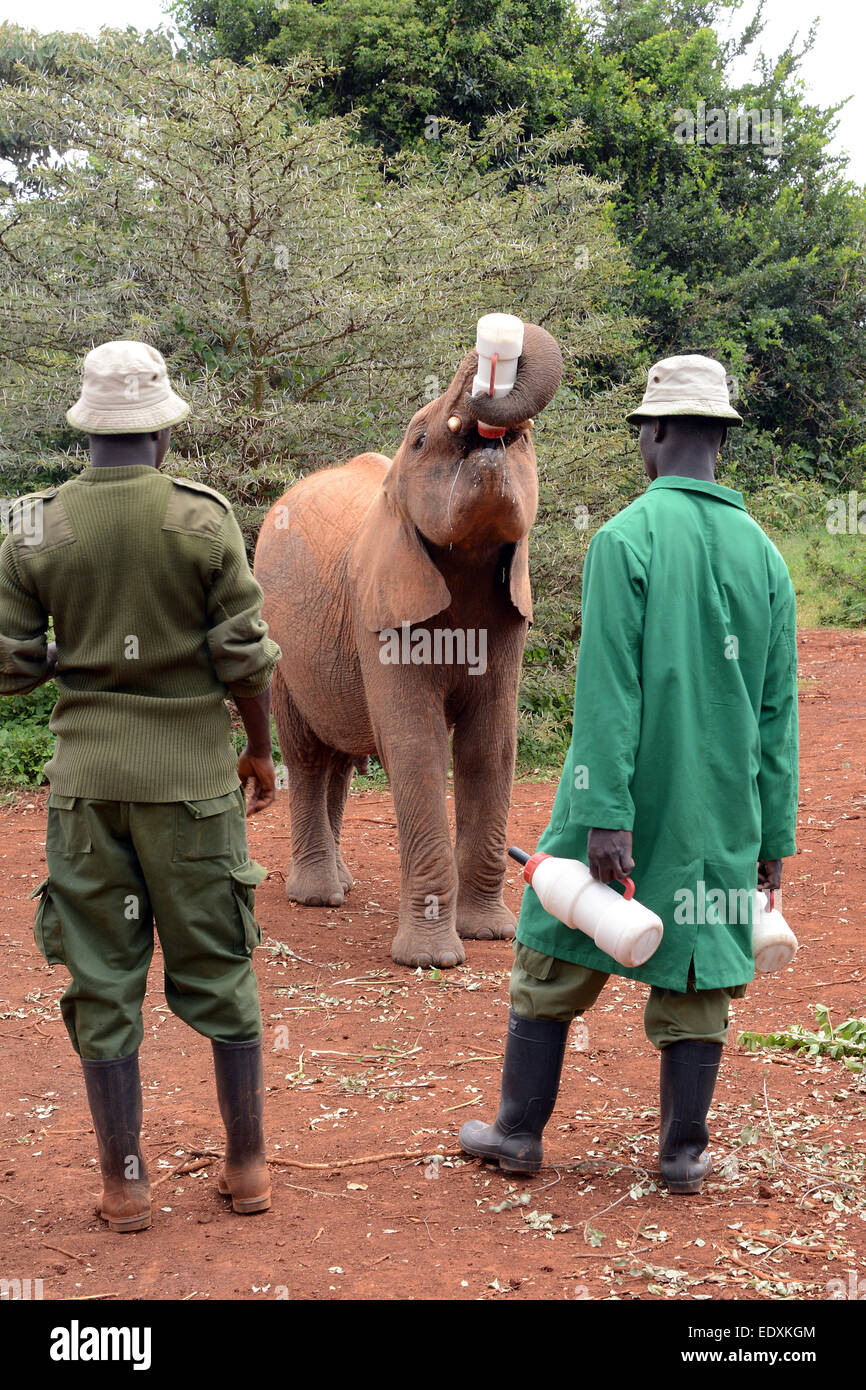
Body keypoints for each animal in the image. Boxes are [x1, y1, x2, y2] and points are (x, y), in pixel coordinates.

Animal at [254, 321, 563, 968]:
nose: (489, 365)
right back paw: (318, 896)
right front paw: (430, 959)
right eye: (420, 441)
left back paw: (342, 885)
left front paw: (490, 934)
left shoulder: (509, 616)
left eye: (524, 443)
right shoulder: (379, 612)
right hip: (282, 646)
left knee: (337, 754)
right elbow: (416, 746)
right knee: (308, 752)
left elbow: (490, 745)